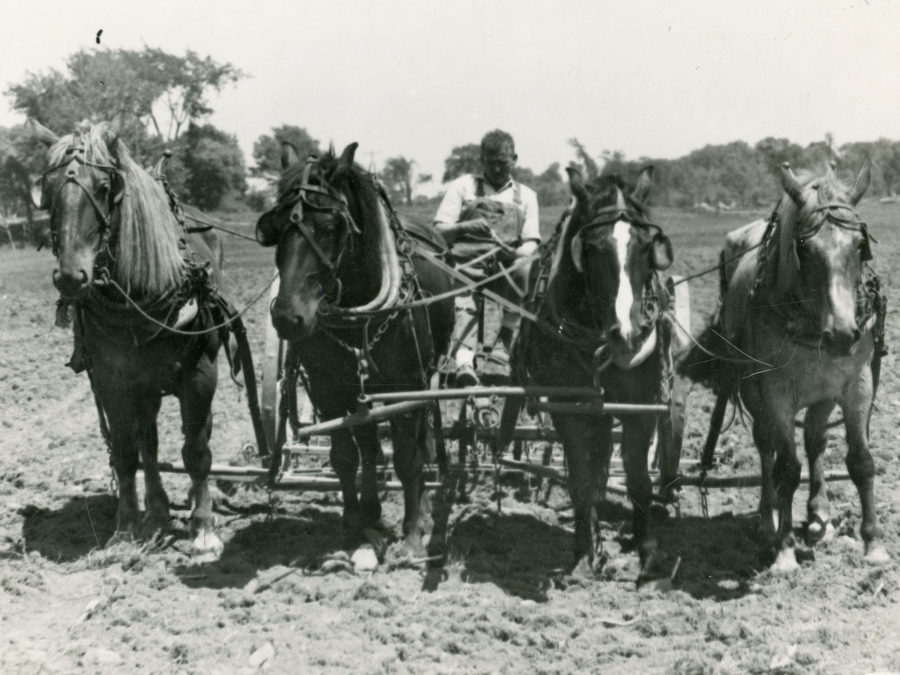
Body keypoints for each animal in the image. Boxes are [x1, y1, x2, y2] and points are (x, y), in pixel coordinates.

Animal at [29, 118, 241, 557]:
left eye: (104, 187)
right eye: (50, 188)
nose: (71, 277)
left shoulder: (199, 377)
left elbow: (197, 452)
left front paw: (204, 529)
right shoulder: (113, 383)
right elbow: (128, 454)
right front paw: (125, 527)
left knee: (195, 438)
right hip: (143, 385)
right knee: (149, 442)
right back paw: (156, 512)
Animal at [255, 142, 455, 558]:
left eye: (331, 227)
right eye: (275, 228)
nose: (287, 318)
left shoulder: (406, 385)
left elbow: (408, 458)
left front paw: (413, 532)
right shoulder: (329, 390)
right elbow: (347, 456)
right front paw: (353, 524)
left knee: (421, 439)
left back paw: (423, 510)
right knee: (368, 442)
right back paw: (372, 512)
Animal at [513, 166, 675, 577]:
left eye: (646, 248)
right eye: (591, 249)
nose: (628, 334)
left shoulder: (643, 405)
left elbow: (638, 481)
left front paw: (649, 556)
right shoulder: (569, 408)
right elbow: (582, 482)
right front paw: (585, 555)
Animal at [680, 162, 888, 572]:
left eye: (860, 245)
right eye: (804, 248)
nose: (842, 334)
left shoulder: (856, 385)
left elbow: (861, 462)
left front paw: (873, 544)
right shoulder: (776, 392)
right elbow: (787, 469)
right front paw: (785, 549)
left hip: (822, 392)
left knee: (815, 439)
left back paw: (819, 514)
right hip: (753, 391)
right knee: (767, 447)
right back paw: (768, 520)